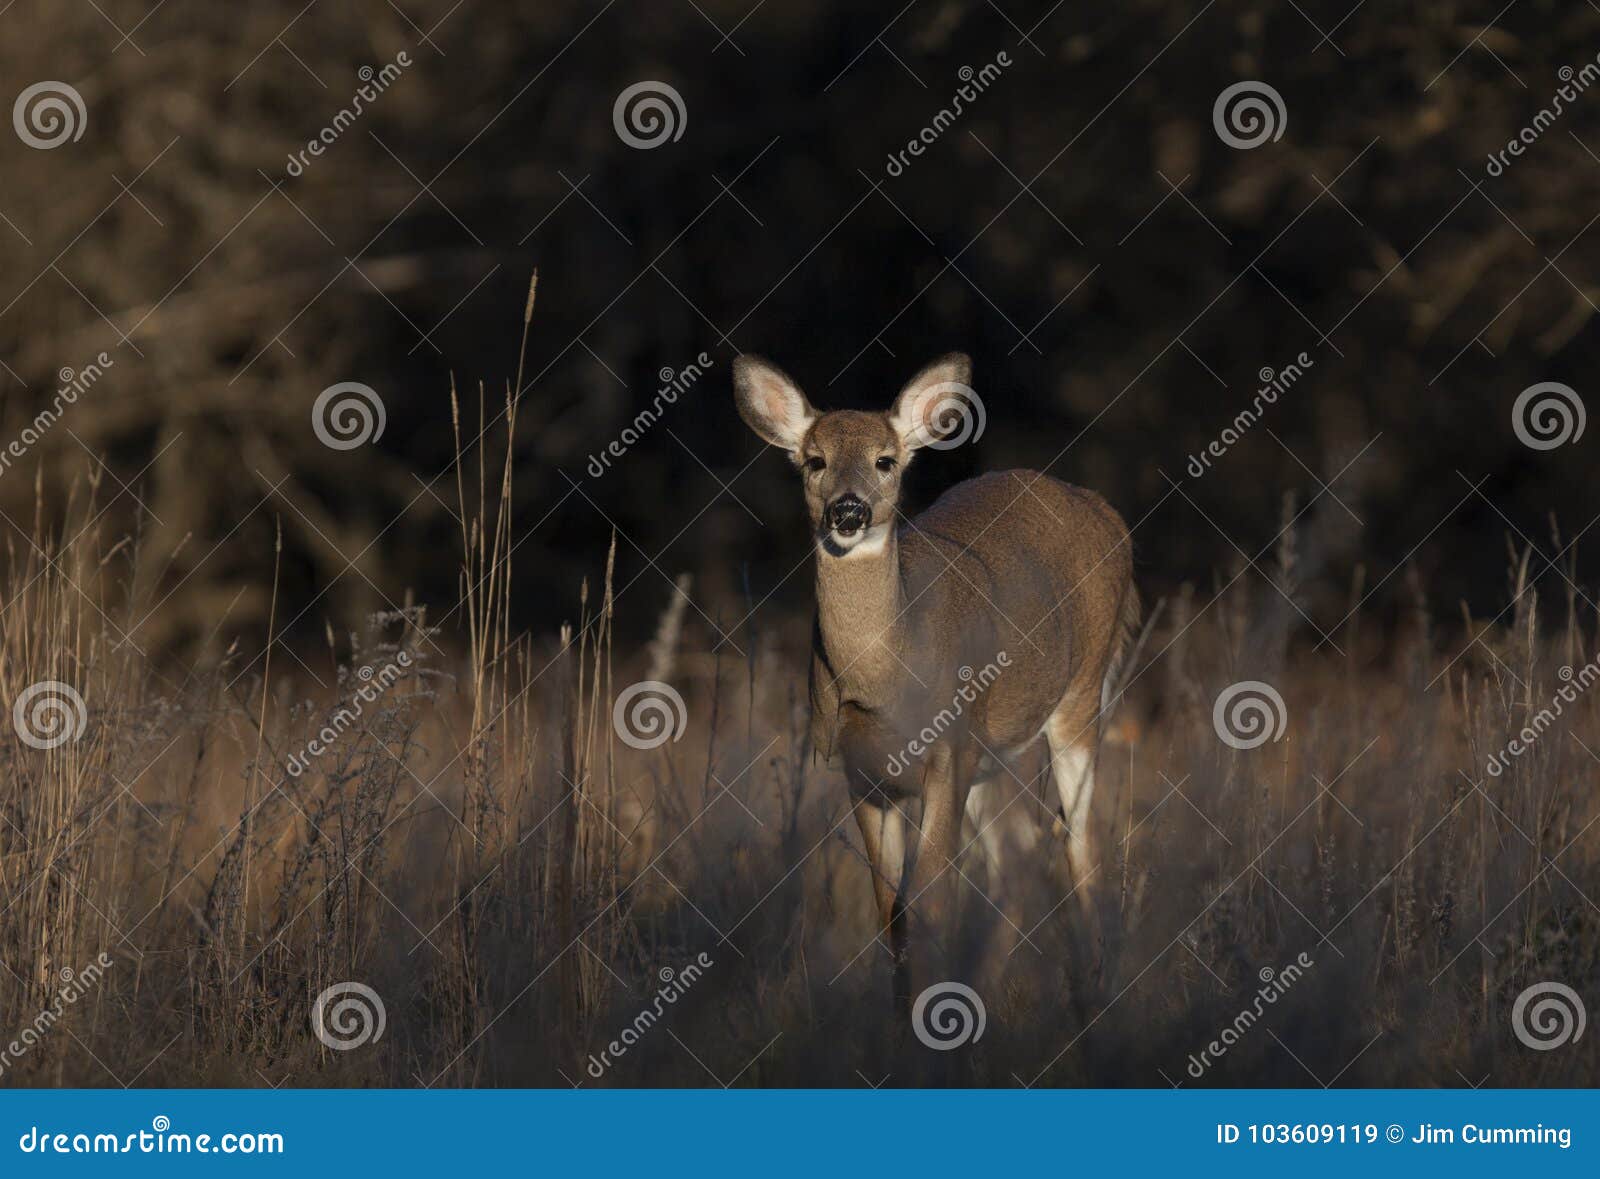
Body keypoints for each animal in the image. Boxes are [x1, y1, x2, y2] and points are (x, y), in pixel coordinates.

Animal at [734, 352, 1138, 1012]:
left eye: (885, 460)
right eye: (815, 460)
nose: (849, 511)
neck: (883, 681)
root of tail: (1106, 512)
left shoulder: (947, 751)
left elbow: (929, 899)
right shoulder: (862, 772)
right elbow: (890, 910)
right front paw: (903, 1018)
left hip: (1079, 696)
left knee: (1078, 841)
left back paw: (1096, 991)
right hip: (991, 757)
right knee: (1017, 853)